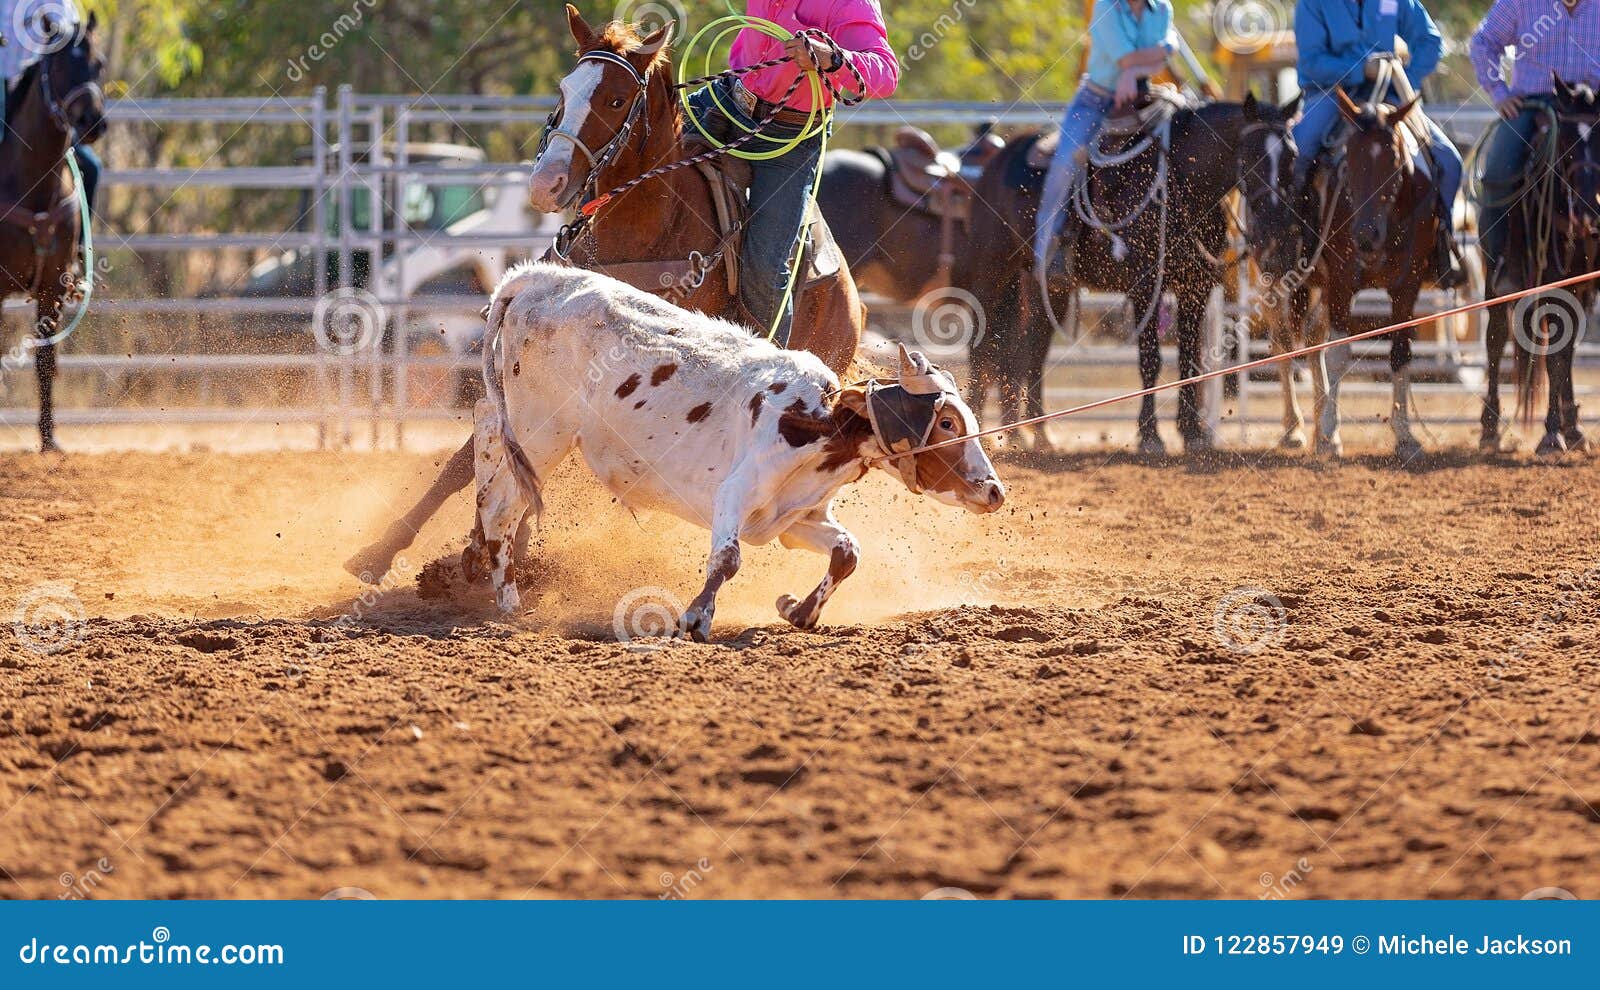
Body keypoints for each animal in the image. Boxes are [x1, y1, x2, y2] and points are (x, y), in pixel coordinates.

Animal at [469, 261, 1006, 641]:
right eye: (948, 422)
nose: (995, 491)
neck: (821, 419)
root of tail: (536, 279)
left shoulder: (793, 520)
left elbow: (847, 552)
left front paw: (797, 609)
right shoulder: (735, 493)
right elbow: (727, 560)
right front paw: (695, 617)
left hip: (515, 423)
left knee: (486, 448)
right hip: (542, 431)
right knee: (504, 505)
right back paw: (510, 603)